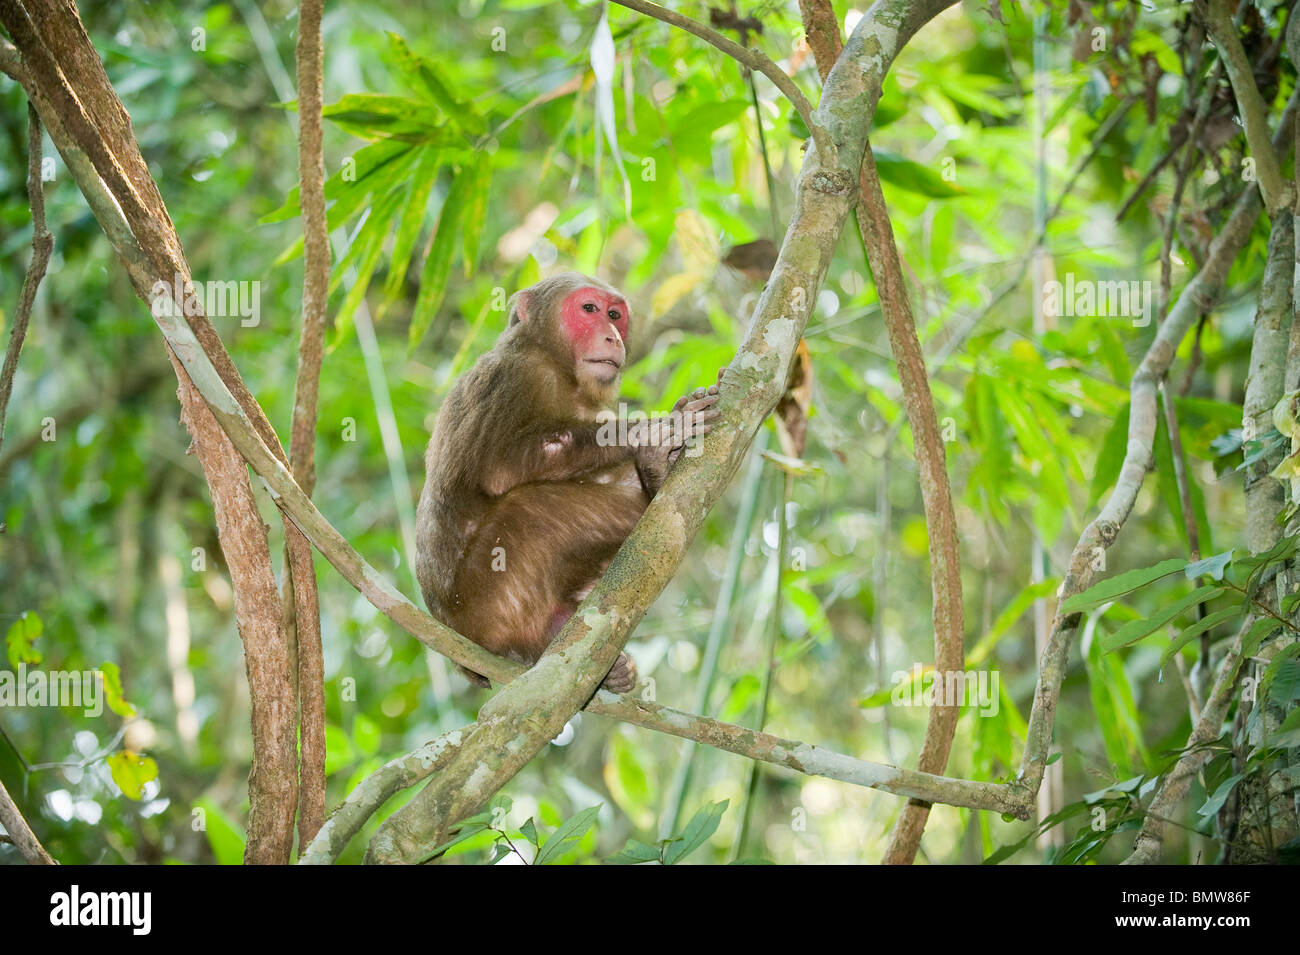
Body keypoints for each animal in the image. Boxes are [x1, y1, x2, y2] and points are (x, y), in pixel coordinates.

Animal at [415, 272, 722, 694]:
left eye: (615, 315)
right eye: (589, 309)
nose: (613, 336)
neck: (561, 370)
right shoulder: (516, 374)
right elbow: (498, 467)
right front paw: (648, 431)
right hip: (490, 599)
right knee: (529, 508)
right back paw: (654, 478)